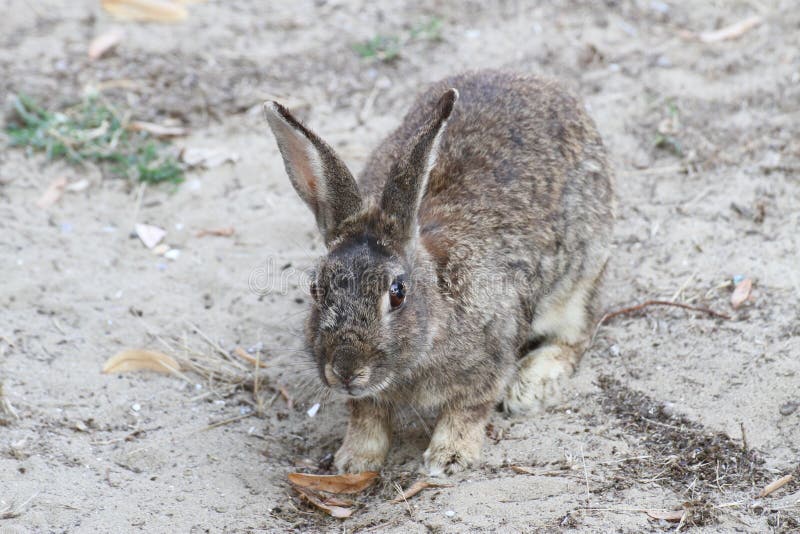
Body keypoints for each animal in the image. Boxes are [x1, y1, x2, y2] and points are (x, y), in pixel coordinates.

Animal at [263, 70, 614, 476]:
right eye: (316, 288)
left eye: (397, 292)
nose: (346, 369)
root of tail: (541, 83)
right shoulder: (369, 398)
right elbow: (366, 416)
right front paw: (355, 461)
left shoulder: (490, 361)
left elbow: (467, 409)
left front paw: (449, 457)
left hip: (580, 279)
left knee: (576, 337)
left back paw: (530, 387)